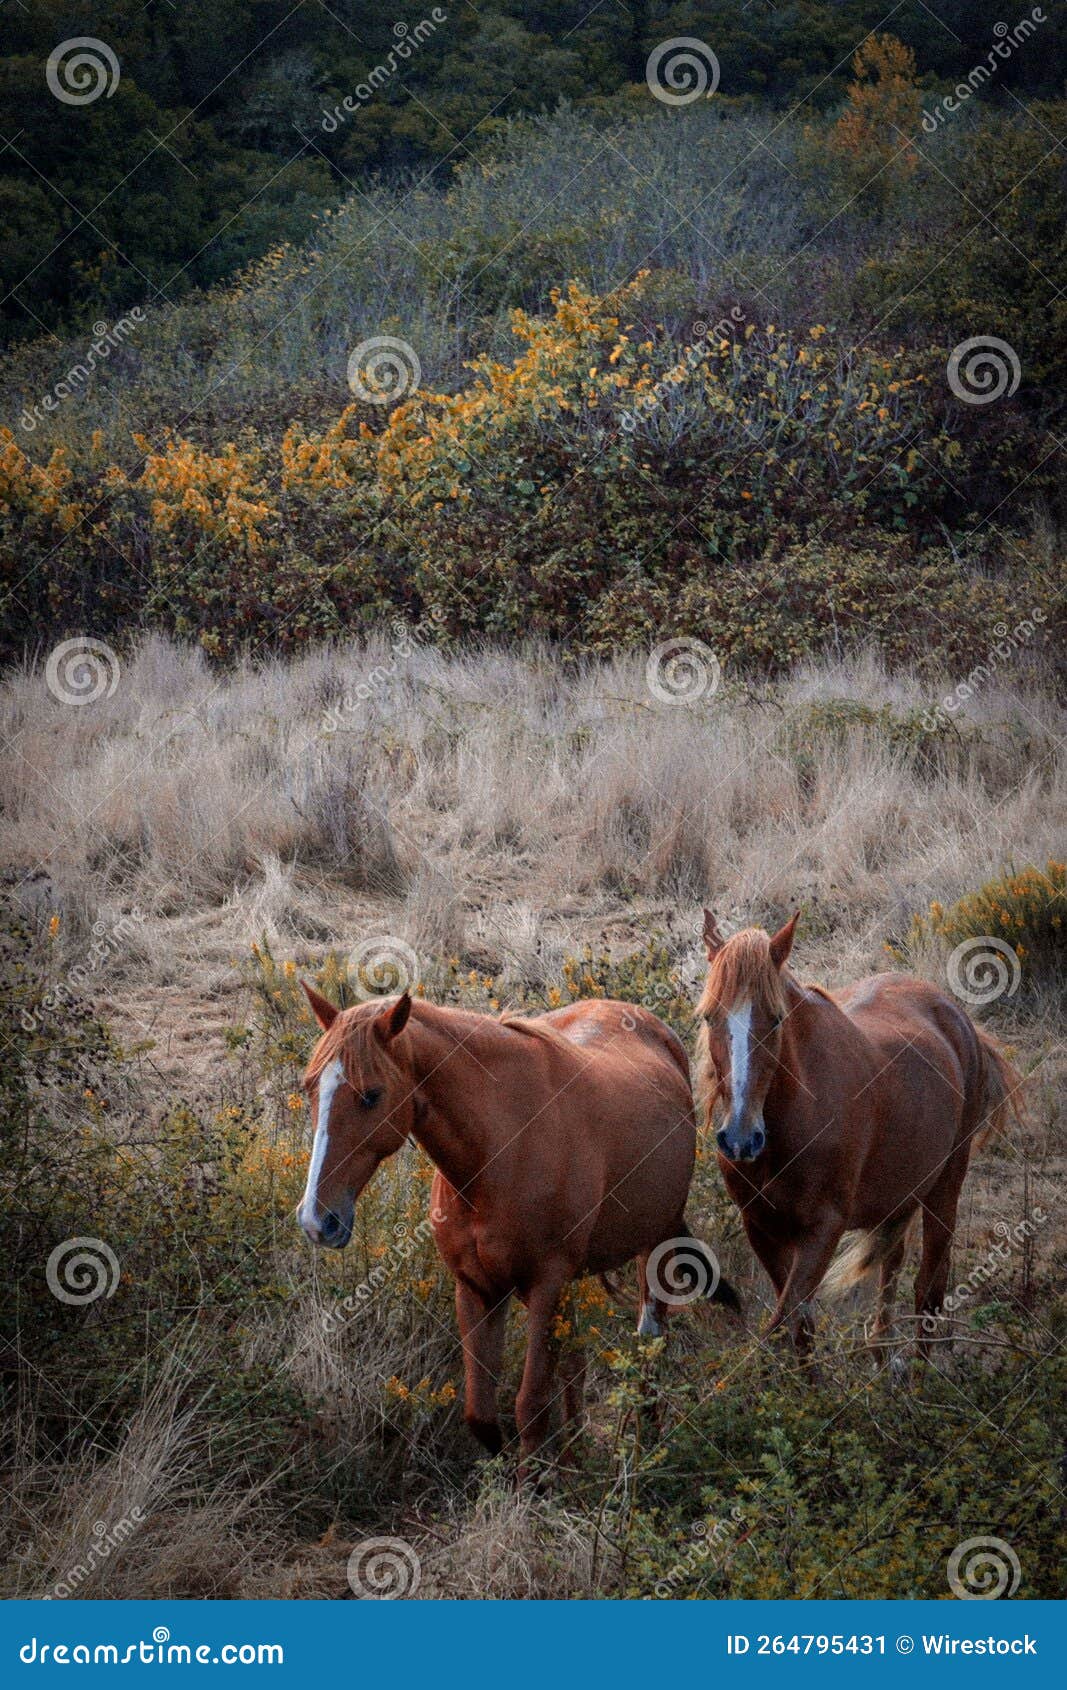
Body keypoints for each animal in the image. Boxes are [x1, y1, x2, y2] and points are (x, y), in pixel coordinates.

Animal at [297, 984, 740, 1475]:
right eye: (309, 1086)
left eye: (371, 1095)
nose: (317, 1220)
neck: (500, 1149)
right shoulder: (477, 1287)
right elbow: (481, 1414)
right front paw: (522, 1474)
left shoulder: (545, 1285)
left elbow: (530, 1407)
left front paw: (534, 1487)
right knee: (575, 1362)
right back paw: (575, 1456)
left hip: (653, 1246)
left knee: (649, 1342)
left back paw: (644, 1445)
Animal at [695, 910, 1021, 1362]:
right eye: (709, 1016)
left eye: (776, 1018)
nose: (741, 1139)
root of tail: (957, 1017)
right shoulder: (760, 1227)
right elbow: (797, 1326)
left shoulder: (823, 1229)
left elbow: (786, 1321)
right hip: (899, 1196)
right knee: (892, 1270)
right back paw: (883, 1359)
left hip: (945, 1188)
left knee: (929, 1290)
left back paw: (920, 1377)